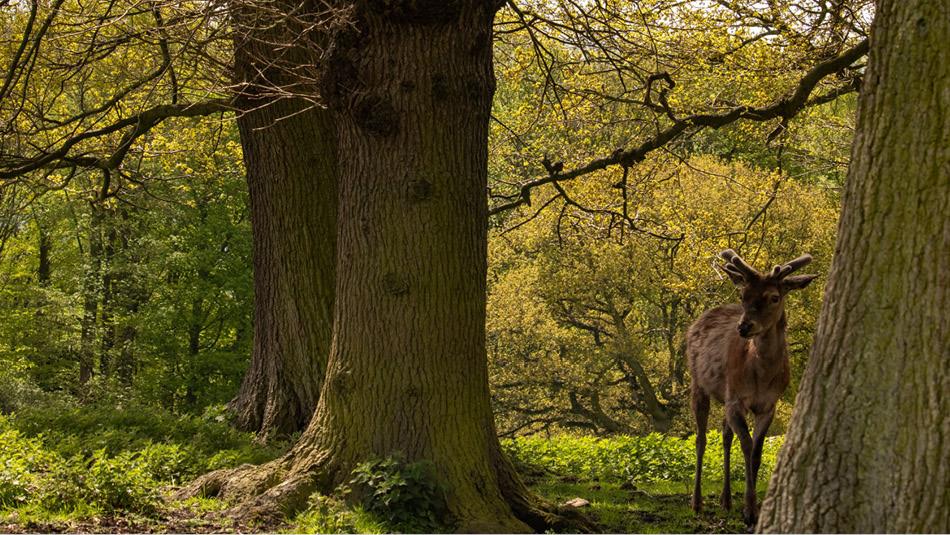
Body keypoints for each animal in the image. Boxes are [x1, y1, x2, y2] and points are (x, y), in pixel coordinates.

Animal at [688, 250, 820, 528]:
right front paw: (749, 511)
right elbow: (747, 447)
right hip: (698, 383)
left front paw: (754, 510)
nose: (744, 326)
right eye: (743, 296)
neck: (761, 376)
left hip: (723, 396)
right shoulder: (736, 399)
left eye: (774, 297)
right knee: (701, 439)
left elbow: (757, 452)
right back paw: (696, 502)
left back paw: (726, 500)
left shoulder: (768, 405)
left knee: (725, 435)